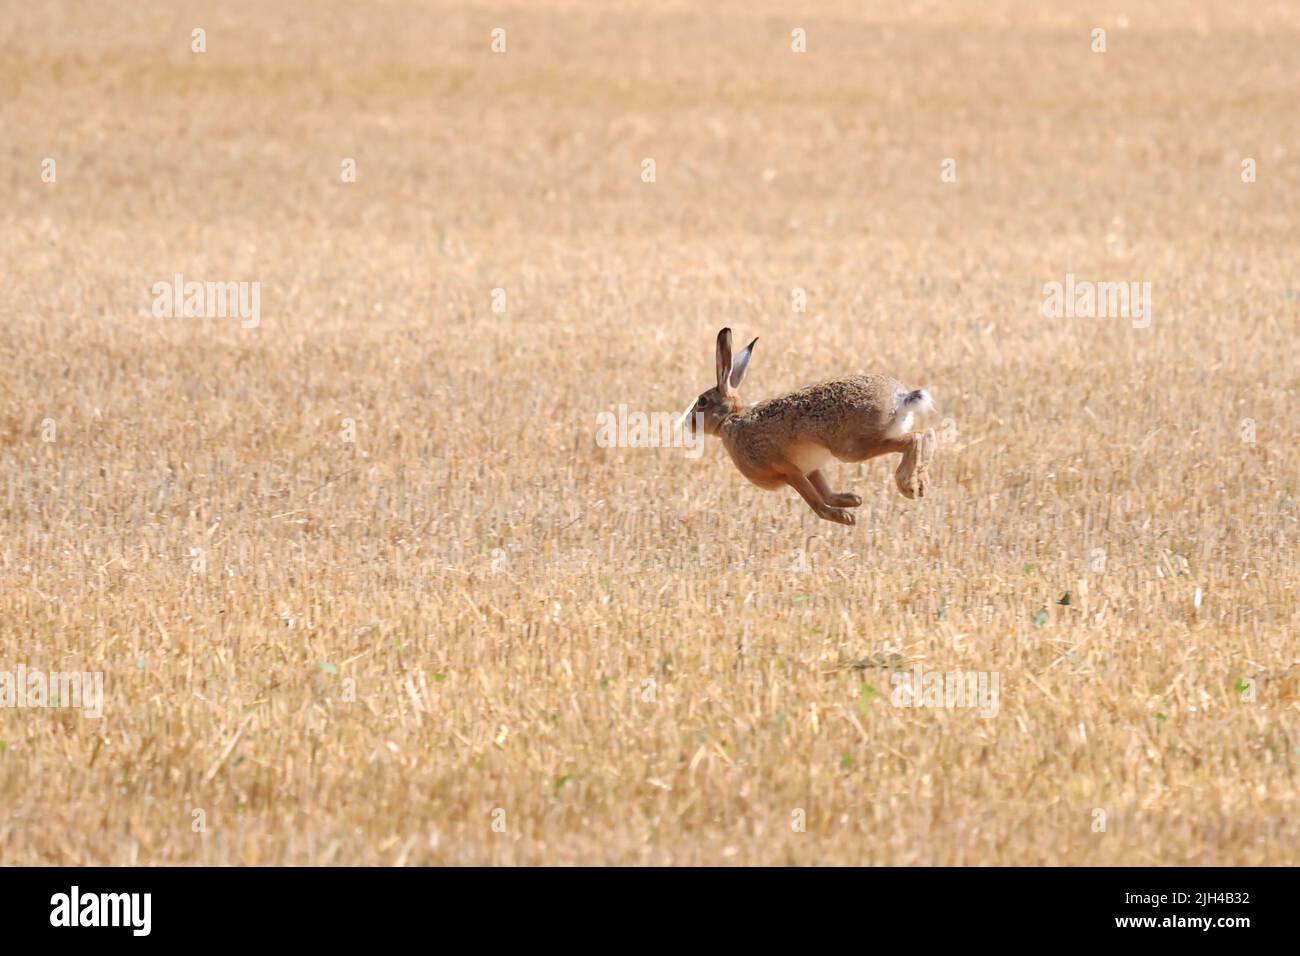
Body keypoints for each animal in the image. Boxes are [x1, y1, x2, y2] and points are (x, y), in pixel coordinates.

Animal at [684, 328, 937, 525]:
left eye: (702, 401)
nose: (687, 423)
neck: (730, 419)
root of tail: (901, 398)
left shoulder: (788, 470)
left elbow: (816, 503)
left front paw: (845, 518)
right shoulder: (809, 469)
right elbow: (826, 493)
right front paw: (852, 501)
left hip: (852, 448)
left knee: (915, 438)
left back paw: (907, 486)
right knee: (927, 434)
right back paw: (921, 483)